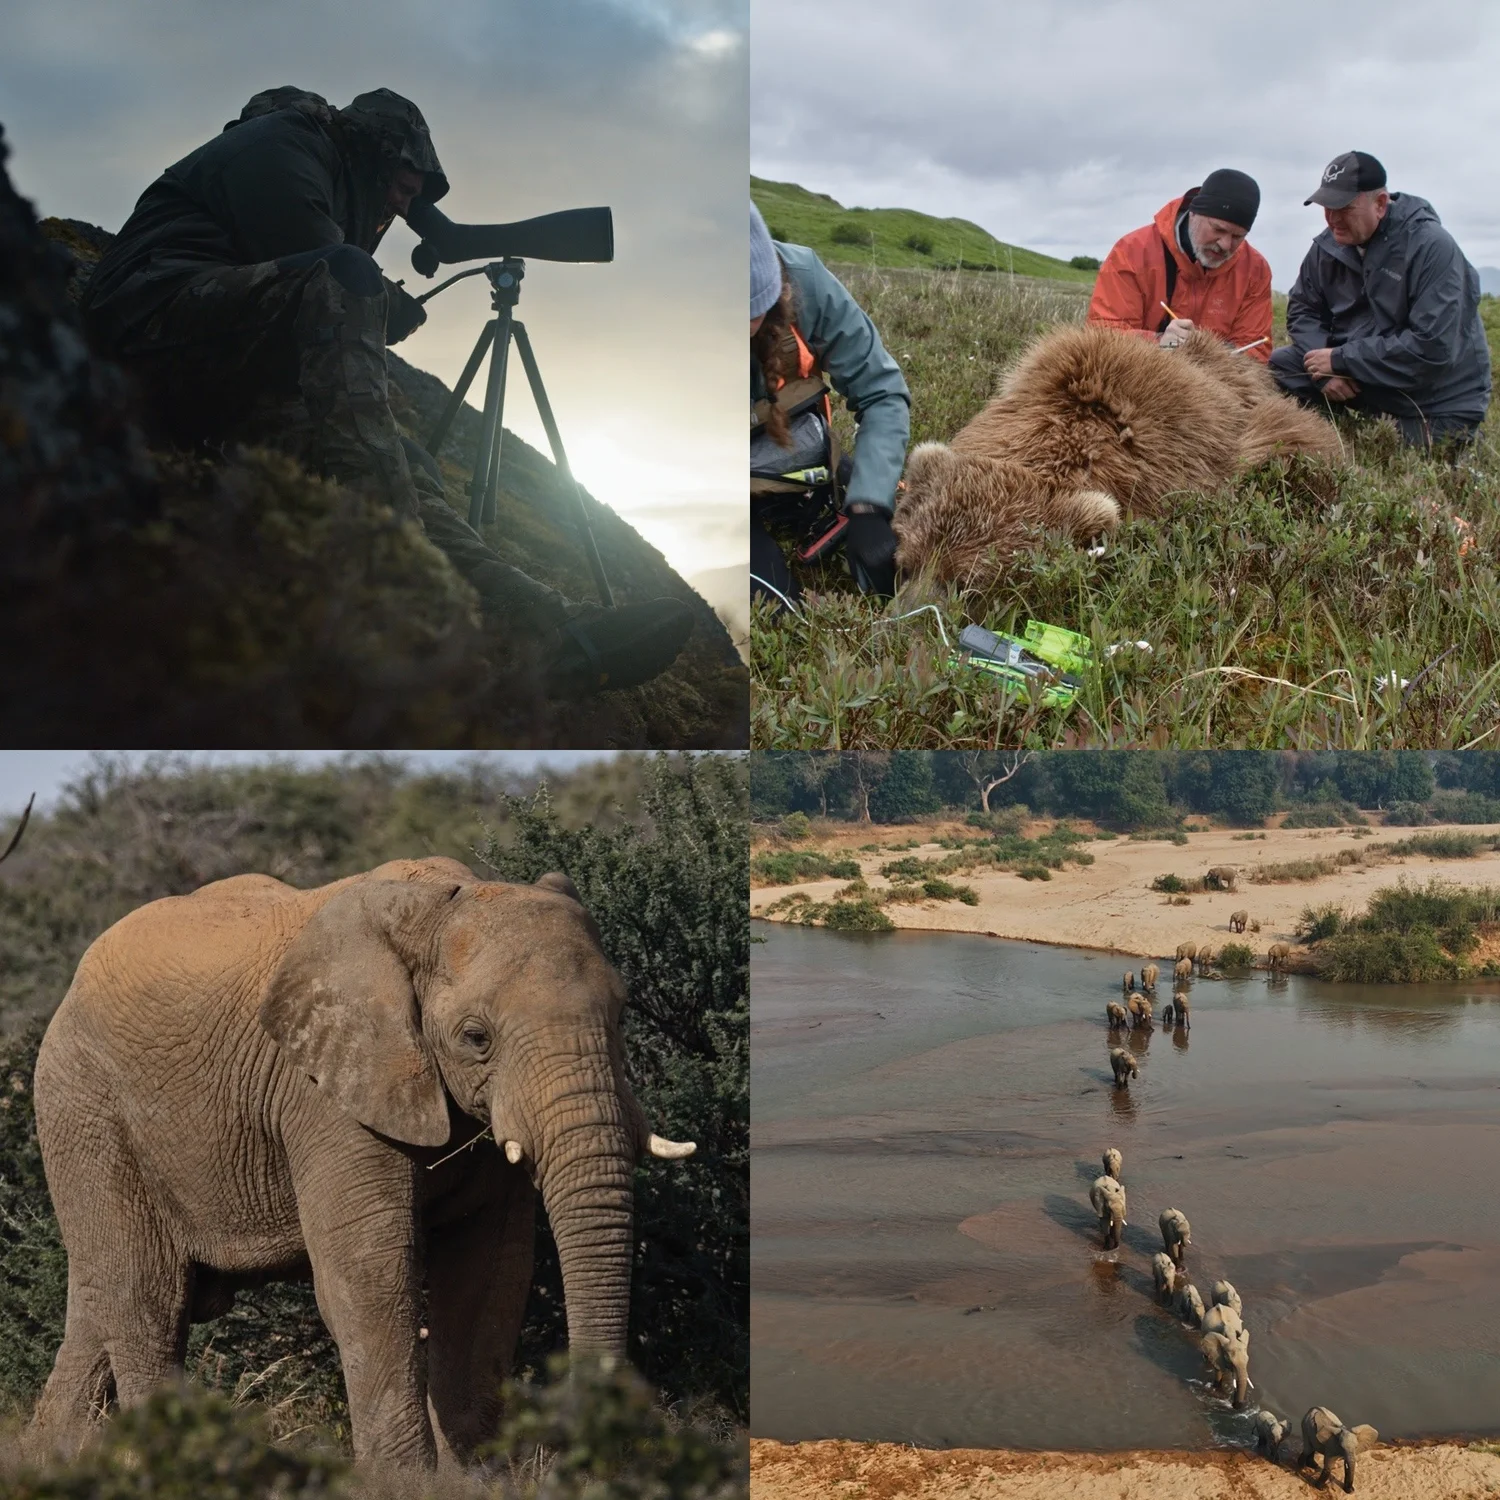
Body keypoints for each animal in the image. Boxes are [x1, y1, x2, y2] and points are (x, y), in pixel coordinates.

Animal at [30, 857, 698, 1467]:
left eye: (623, 1014)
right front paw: (407, 1485)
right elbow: (371, 1276)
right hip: (85, 1110)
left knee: (99, 1306)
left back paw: (49, 1457)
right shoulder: (328, 1094)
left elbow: (489, 1275)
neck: (440, 903)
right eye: (476, 1037)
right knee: (148, 1300)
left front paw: (475, 1480)